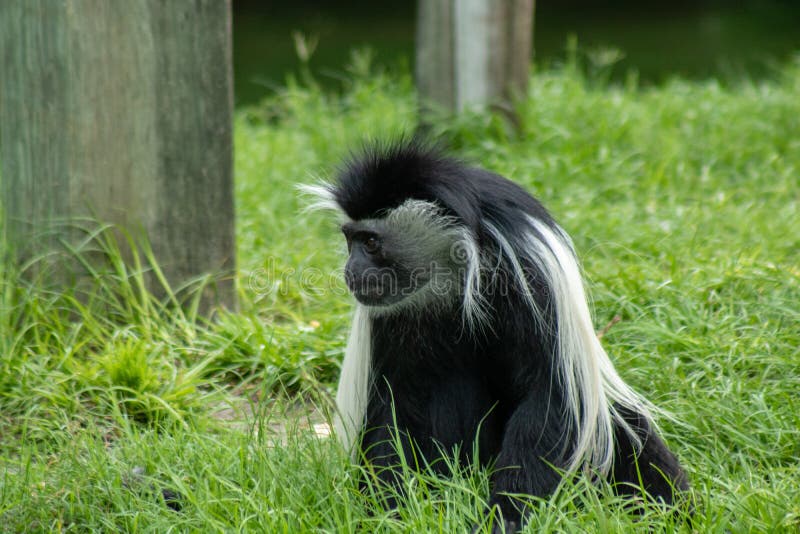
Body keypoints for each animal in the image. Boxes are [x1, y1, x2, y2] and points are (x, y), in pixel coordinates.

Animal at [303, 139, 689, 531]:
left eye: (370, 242)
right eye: (349, 239)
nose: (351, 270)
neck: (454, 263)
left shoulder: (526, 270)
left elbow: (549, 396)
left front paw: (505, 516)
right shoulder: (391, 314)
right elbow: (395, 406)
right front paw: (390, 510)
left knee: (626, 432)